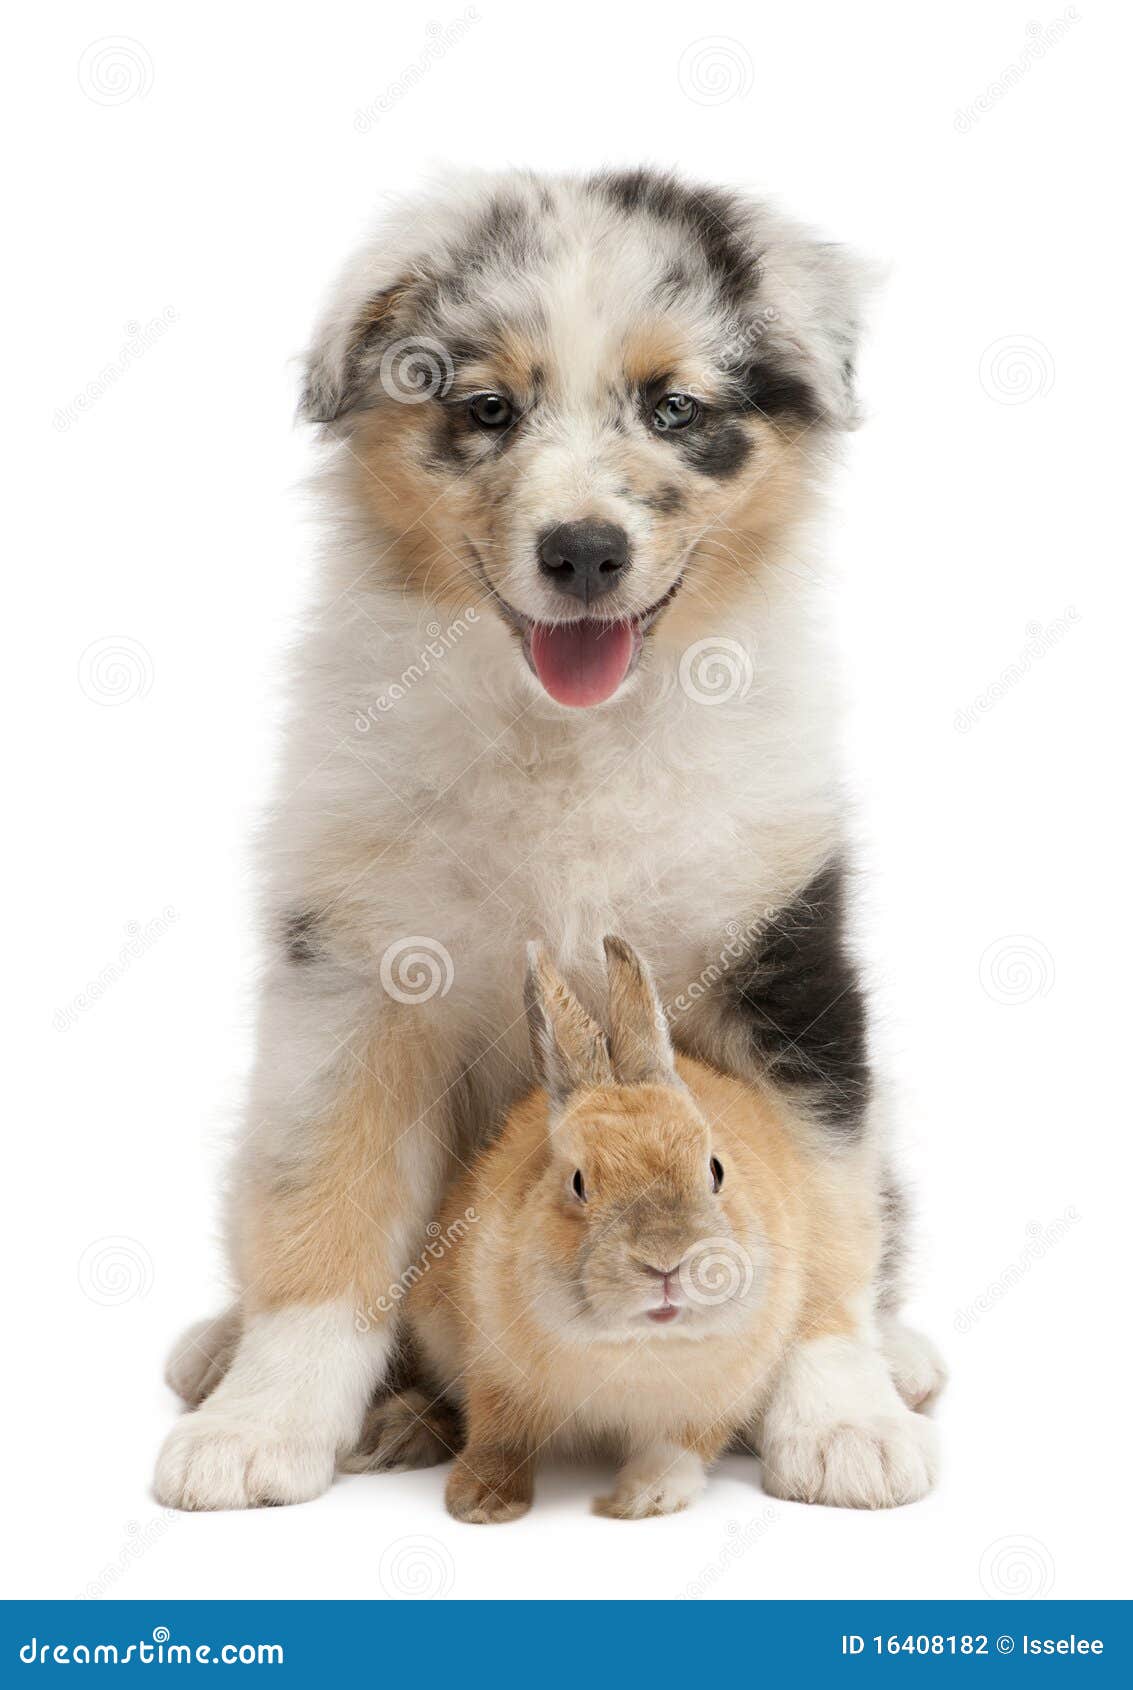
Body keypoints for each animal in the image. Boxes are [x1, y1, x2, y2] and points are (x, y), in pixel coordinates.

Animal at [398, 936, 936, 1521]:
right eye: (579, 1182)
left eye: (715, 1170)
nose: (666, 1261)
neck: (638, 1345)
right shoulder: (492, 1370)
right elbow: (498, 1435)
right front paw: (480, 1502)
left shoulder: (714, 1401)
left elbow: (677, 1449)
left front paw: (642, 1500)